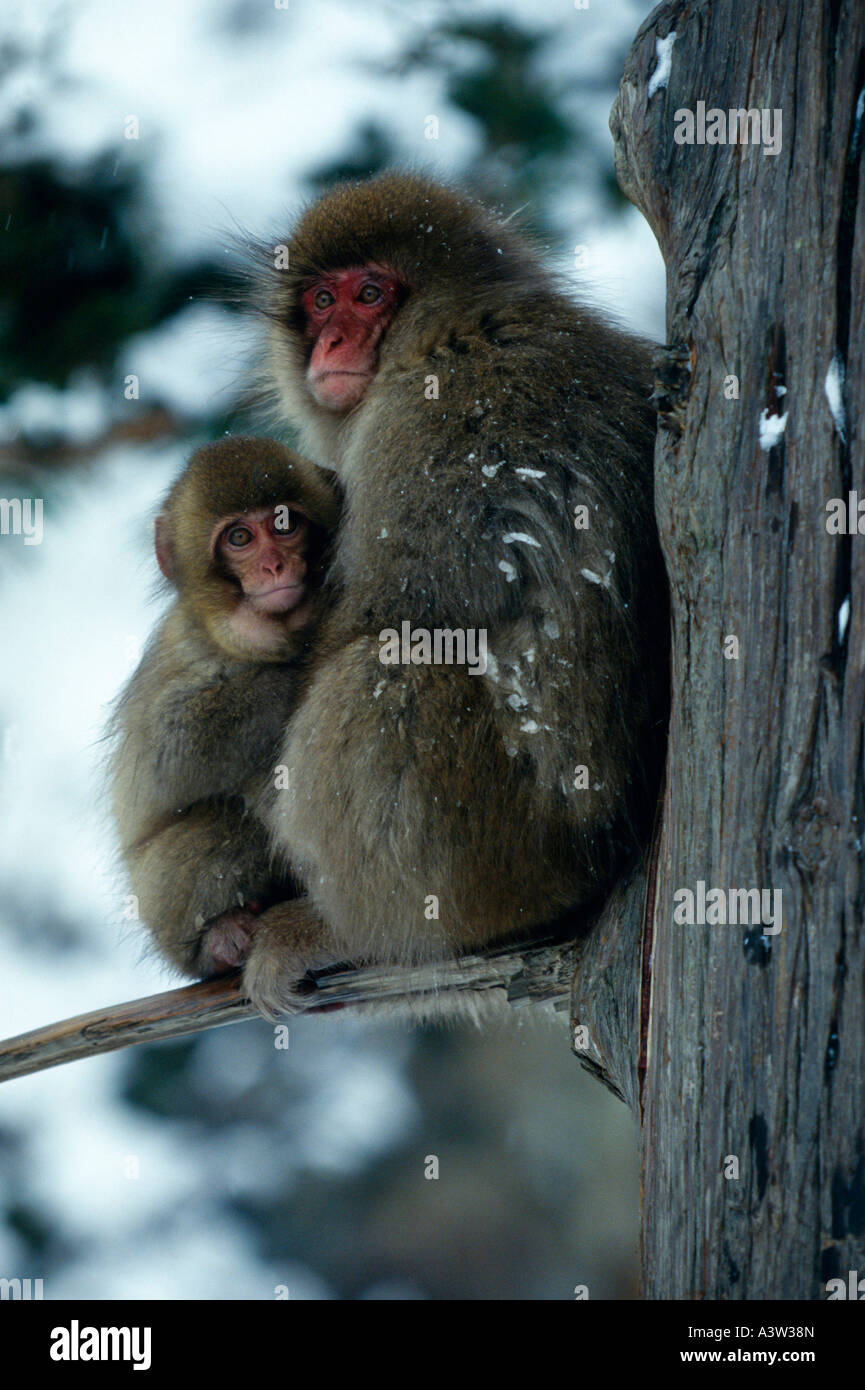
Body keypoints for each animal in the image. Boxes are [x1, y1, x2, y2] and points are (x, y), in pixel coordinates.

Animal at [108, 435, 341, 979]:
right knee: (226, 814)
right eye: (239, 538)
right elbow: (166, 749)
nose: (274, 566)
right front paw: (295, 665)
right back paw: (218, 938)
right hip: (157, 898)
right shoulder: (191, 645)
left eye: (285, 525)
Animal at [235, 171, 668, 1020]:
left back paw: (345, 931)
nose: (332, 346)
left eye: (369, 293)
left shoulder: (431, 417)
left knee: (382, 671)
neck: (454, 324)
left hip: (498, 862)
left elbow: (395, 613)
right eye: (321, 302)